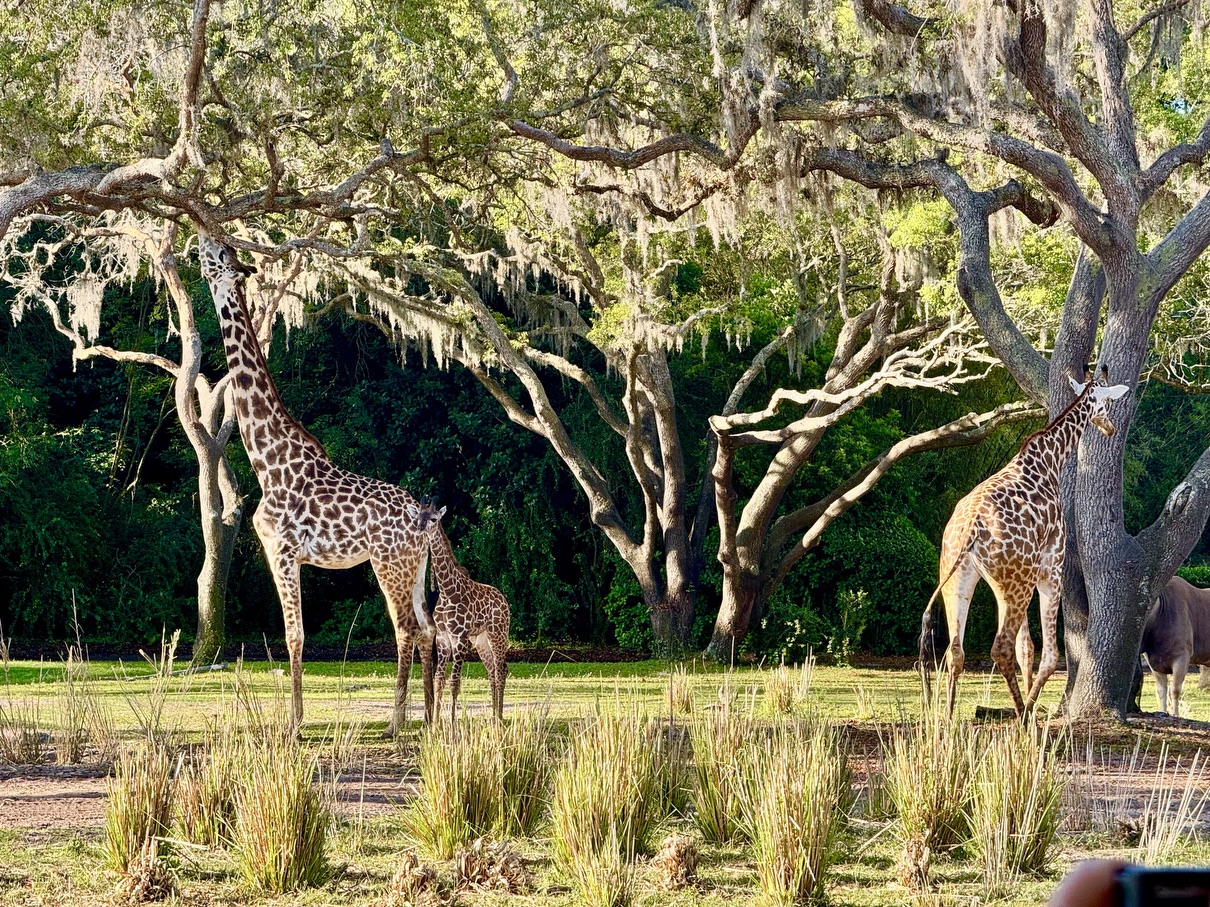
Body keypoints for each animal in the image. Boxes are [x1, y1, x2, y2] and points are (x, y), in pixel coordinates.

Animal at [197, 229, 437, 734]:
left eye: (222, 255)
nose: (203, 238)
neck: (268, 461)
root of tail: (422, 522)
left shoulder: (284, 553)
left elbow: (294, 635)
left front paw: (294, 722)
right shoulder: (287, 556)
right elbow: (293, 634)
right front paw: (295, 717)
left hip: (388, 564)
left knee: (406, 628)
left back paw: (395, 723)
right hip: (416, 567)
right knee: (427, 628)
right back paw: (429, 716)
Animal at [409, 502, 510, 720]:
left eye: (433, 519)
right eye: (418, 517)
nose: (419, 529)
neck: (447, 590)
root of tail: (504, 601)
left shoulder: (460, 637)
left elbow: (455, 682)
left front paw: (453, 723)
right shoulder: (443, 637)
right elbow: (439, 680)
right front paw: (436, 723)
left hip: (498, 634)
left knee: (501, 670)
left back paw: (499, 718)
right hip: (480, 639)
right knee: (492, 671)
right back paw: (492, 716)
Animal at [919, 366, 1130, 717]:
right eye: (1108, 403)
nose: (1111, 427)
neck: (1050, 460)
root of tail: (969, 531)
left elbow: (1026, 647)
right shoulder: (1051, 567)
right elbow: (1048, 654)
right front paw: (1031, 712)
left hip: (961, 578)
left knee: (956, 651)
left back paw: (947, 723)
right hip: (1015, 582)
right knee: (1002, 648)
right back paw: (1021, 716)